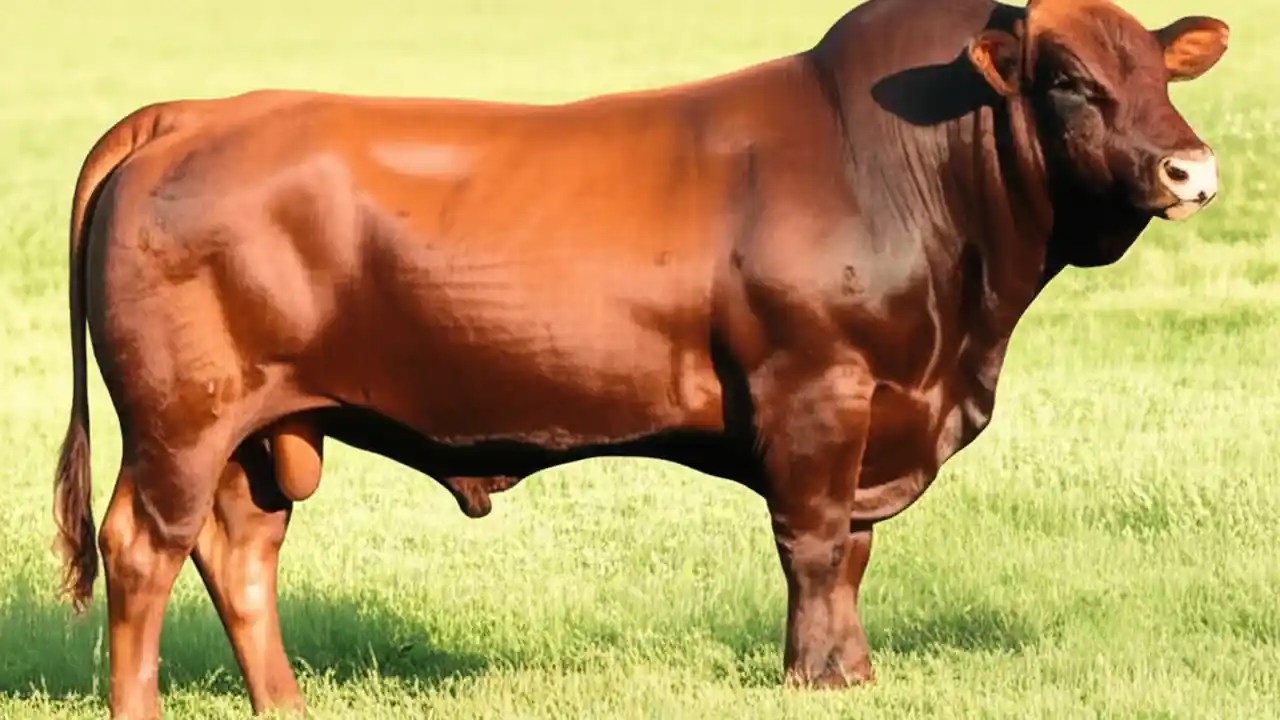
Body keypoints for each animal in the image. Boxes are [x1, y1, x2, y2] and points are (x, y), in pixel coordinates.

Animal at [51, 0, 1228, 716]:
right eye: (1067, 79)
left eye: (1157, 70)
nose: (1192, 170)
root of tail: (193, 114)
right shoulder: (816, 391)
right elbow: (812, 547)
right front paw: (813, 677)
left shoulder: (876, 411)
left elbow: (851, 553)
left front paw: (852, 674)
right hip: (181, 421)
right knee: (145, 548)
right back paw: (139, 707)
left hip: (260, 427)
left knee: (241, 551)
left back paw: (285, 705)